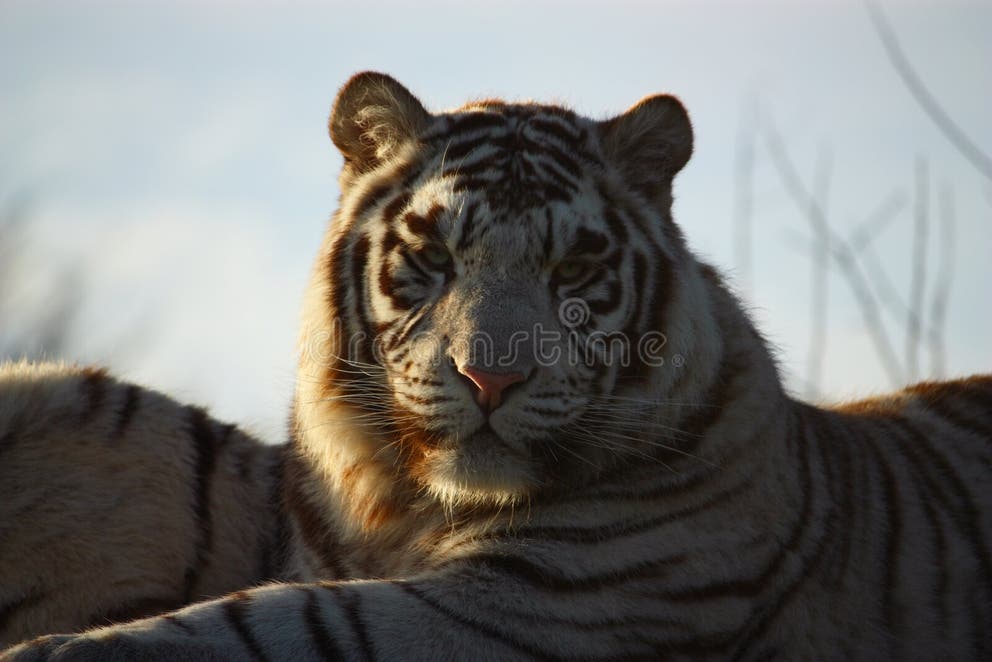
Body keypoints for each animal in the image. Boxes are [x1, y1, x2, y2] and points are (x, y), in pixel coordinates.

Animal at [2, 71, 991, 660]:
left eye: (574, 271)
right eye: (434, 255)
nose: (493, 381)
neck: (401, 509)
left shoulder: (544, 602)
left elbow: (270, 620)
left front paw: (52, 651)